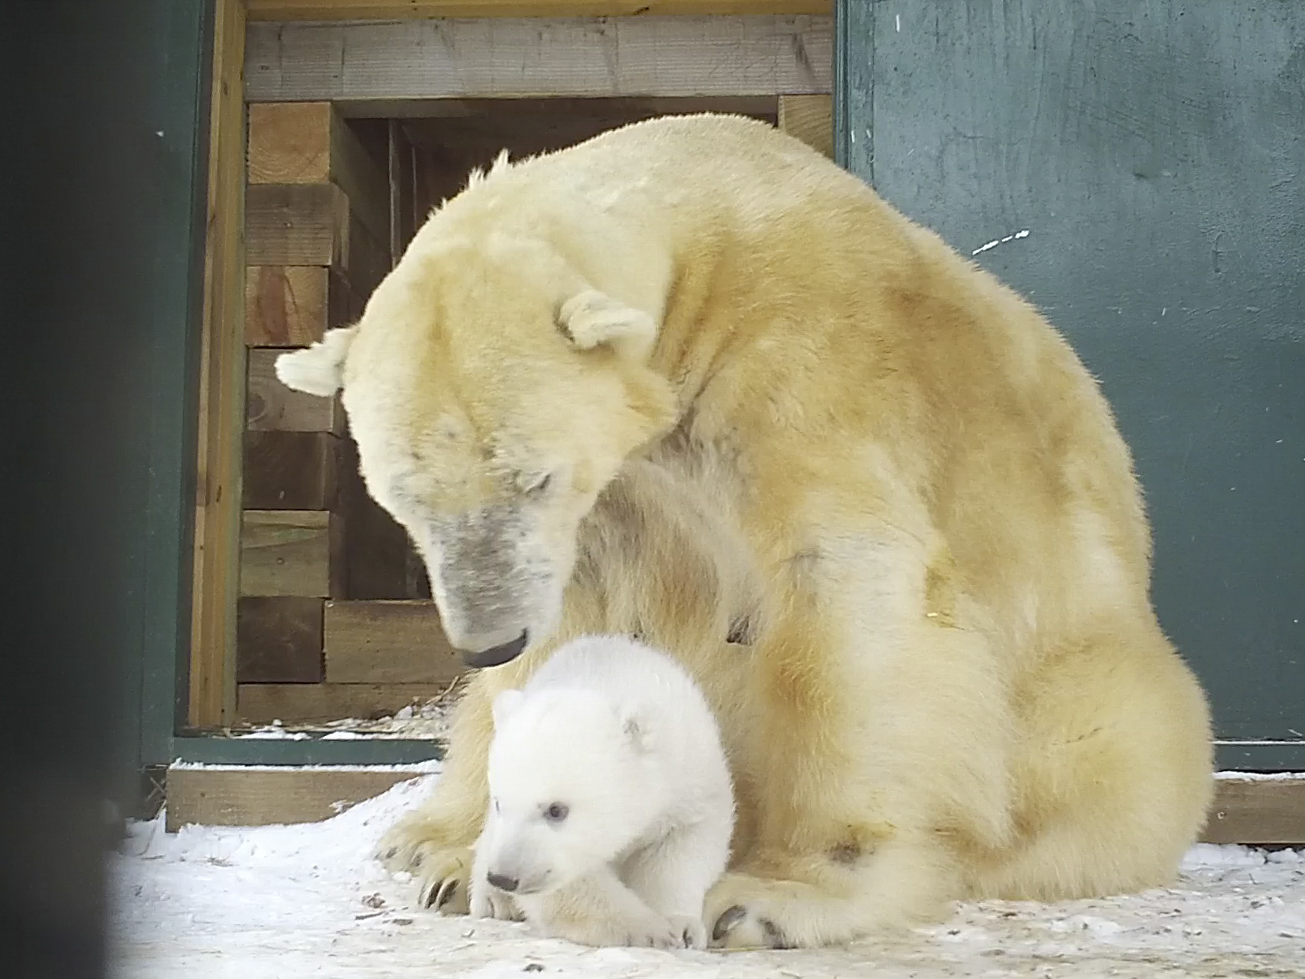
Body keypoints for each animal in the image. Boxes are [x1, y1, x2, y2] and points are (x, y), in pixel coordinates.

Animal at [467, 633, 735, 950]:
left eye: (556, 810)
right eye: (500, 803)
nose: (504, 877)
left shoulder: (689, 778)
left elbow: (682, 848)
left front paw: (682, 927)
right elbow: (574, 884)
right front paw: (650, 929)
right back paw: (494, 900)